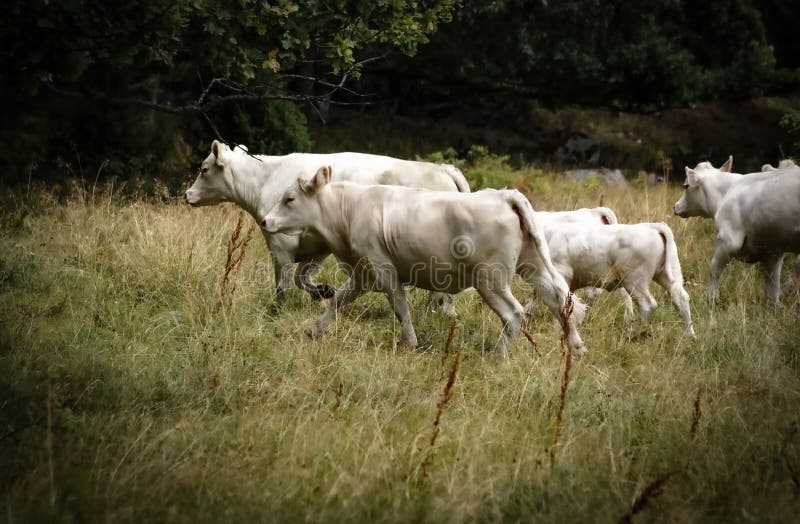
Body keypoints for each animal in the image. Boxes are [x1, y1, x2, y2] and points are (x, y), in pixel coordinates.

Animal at [185, 140, 471, 314]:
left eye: (204, 169)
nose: (188, 195)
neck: (265, 181)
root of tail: (442, 169)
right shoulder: (316, 247)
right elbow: (302, 278)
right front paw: (323, 291)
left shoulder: (281, 245)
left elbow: (284, 285)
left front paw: (277, 310)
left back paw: (441, 312)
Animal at [261, 166, 587, 359]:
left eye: (290, 199)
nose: (265, 221)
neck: (351, 208)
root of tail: (504, 196)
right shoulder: (363, 272)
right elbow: (339, 300)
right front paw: (315, 330)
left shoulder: (383, 268)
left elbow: (400, 306)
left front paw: (411, 342)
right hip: (532, 265)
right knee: (559, 300)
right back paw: (577, 346)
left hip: (491, 280)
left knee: (515, 314)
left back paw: (499, 357)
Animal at [527, 221, 695, 337]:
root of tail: (653, 227)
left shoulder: (562, 275)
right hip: (665, 275)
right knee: (680, 298)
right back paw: (690, 336)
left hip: (635, 281)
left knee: (648, 305)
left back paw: (630, 333)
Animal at [673, 162, 800, 304]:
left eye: (685, 186)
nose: (675, 206)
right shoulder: (772, 252)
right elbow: (772, 288)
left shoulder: (729, 241)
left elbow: (714, 269)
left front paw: (710, 299)